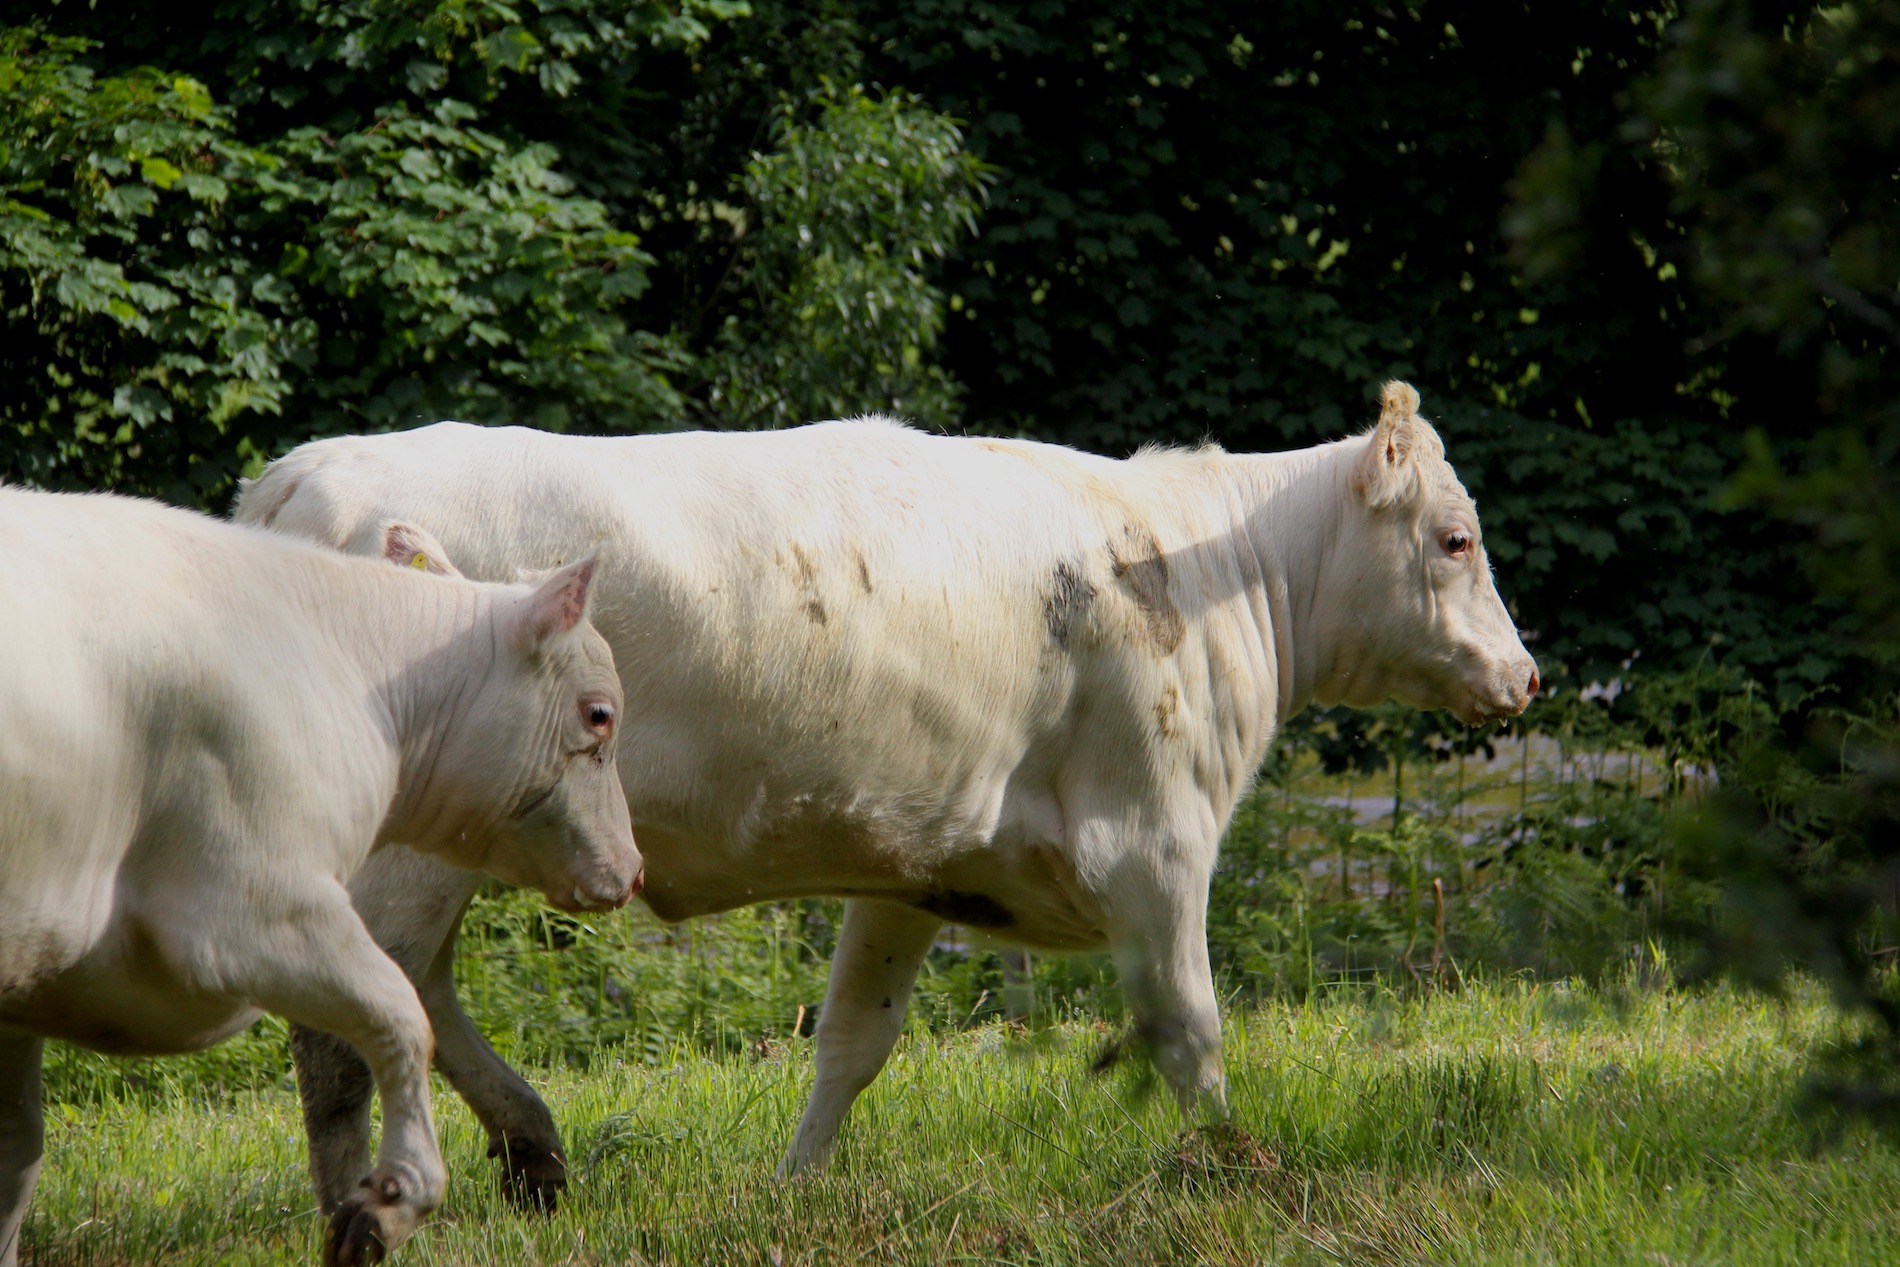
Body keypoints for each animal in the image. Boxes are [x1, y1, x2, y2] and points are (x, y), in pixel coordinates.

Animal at [0, 490, 642, 1267]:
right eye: (599, 714)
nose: (632, 869)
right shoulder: (251, 911)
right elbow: (399, 1015)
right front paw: (389, 1200)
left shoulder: (24, 987)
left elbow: (17, 1153)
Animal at [235, 380, 1536, 1203]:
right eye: (1456, 539)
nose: (1526, 674)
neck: (1202, 566)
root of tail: (304, 474)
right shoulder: (1154, 838)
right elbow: (1188, 1027)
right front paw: (1232, 1166)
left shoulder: (920, 864)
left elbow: (853, 1038)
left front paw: (796, 1185)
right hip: (405, 844)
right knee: (354, 1017)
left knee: (411, 988)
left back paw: (532, 1152)